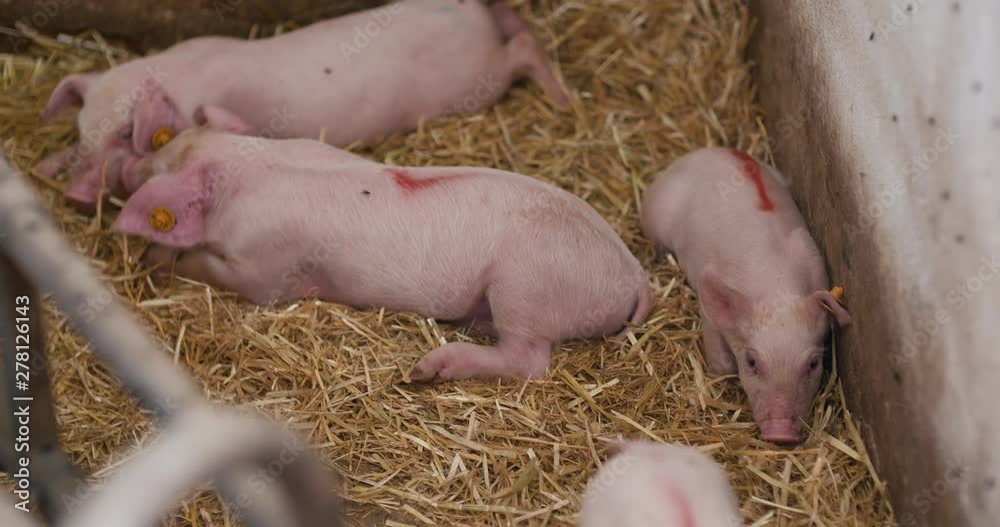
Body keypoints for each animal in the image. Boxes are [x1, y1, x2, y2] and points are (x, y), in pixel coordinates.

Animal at [37, 0, 569, 209]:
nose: (75, 195)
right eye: (83, 130)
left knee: (523, 49)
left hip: (483, 79)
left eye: (125, 134)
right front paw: (44, 165)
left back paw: (562, 98)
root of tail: (468, 10)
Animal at [113, 128, 650, 382]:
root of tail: (634, 275)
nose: (127, 166)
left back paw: (429, 369)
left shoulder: (266, 270)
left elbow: (213, 269)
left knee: (530, 360)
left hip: (525, 287)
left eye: (158, 168)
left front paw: (155, 257)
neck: (245, 172)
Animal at [640, 147, 851, 445]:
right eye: (752, 361)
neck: (777, 285)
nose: (781, 434)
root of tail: (699, 153)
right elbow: (721, 360)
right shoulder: (708, 306)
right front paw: (721, 370)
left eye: (813, 363)